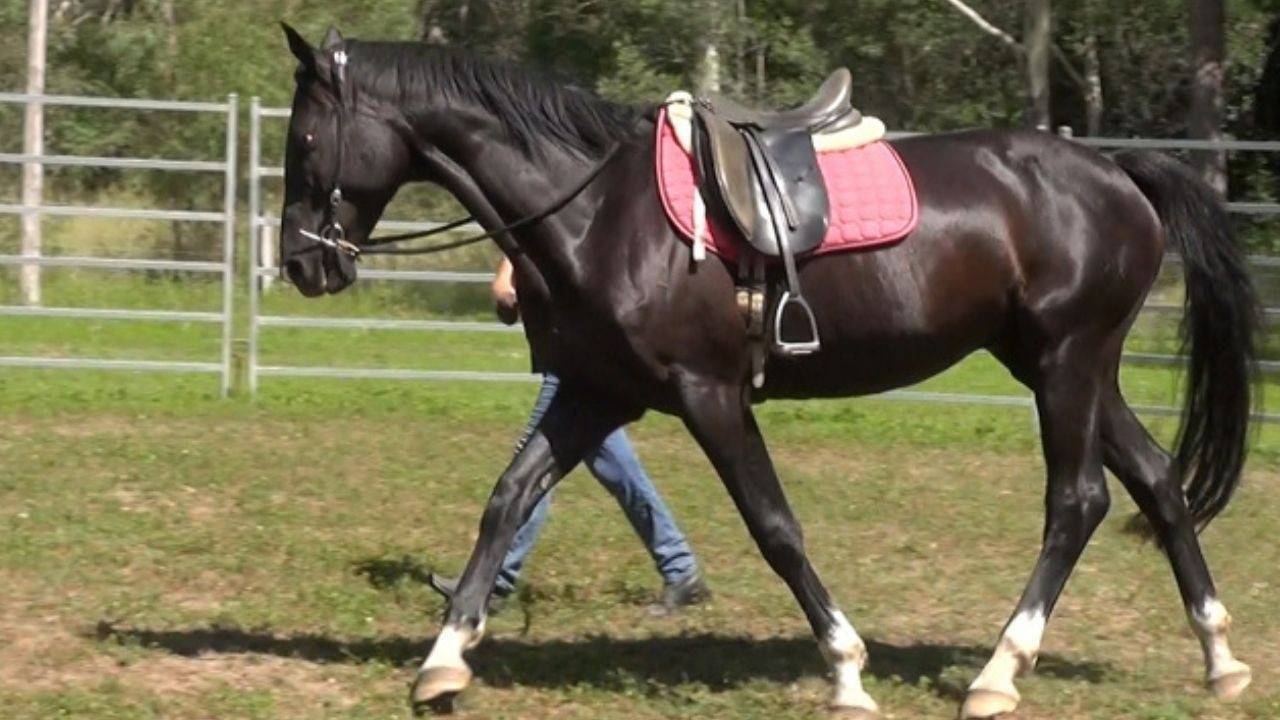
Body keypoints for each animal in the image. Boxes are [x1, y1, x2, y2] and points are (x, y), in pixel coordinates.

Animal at [276, 25, 1258, 719]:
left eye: (308, 140)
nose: (300, 263)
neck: (601, 210)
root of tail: (1115, 170)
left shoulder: (706, 394)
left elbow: (775, 527)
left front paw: (848, 672)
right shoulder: (598, 392)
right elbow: (508, 498)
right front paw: (443, 661)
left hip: (1065, 362)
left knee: (1077, 502)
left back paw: (999, 672)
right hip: (1067, 366)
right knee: (1157, 481)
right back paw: (1219, 658)